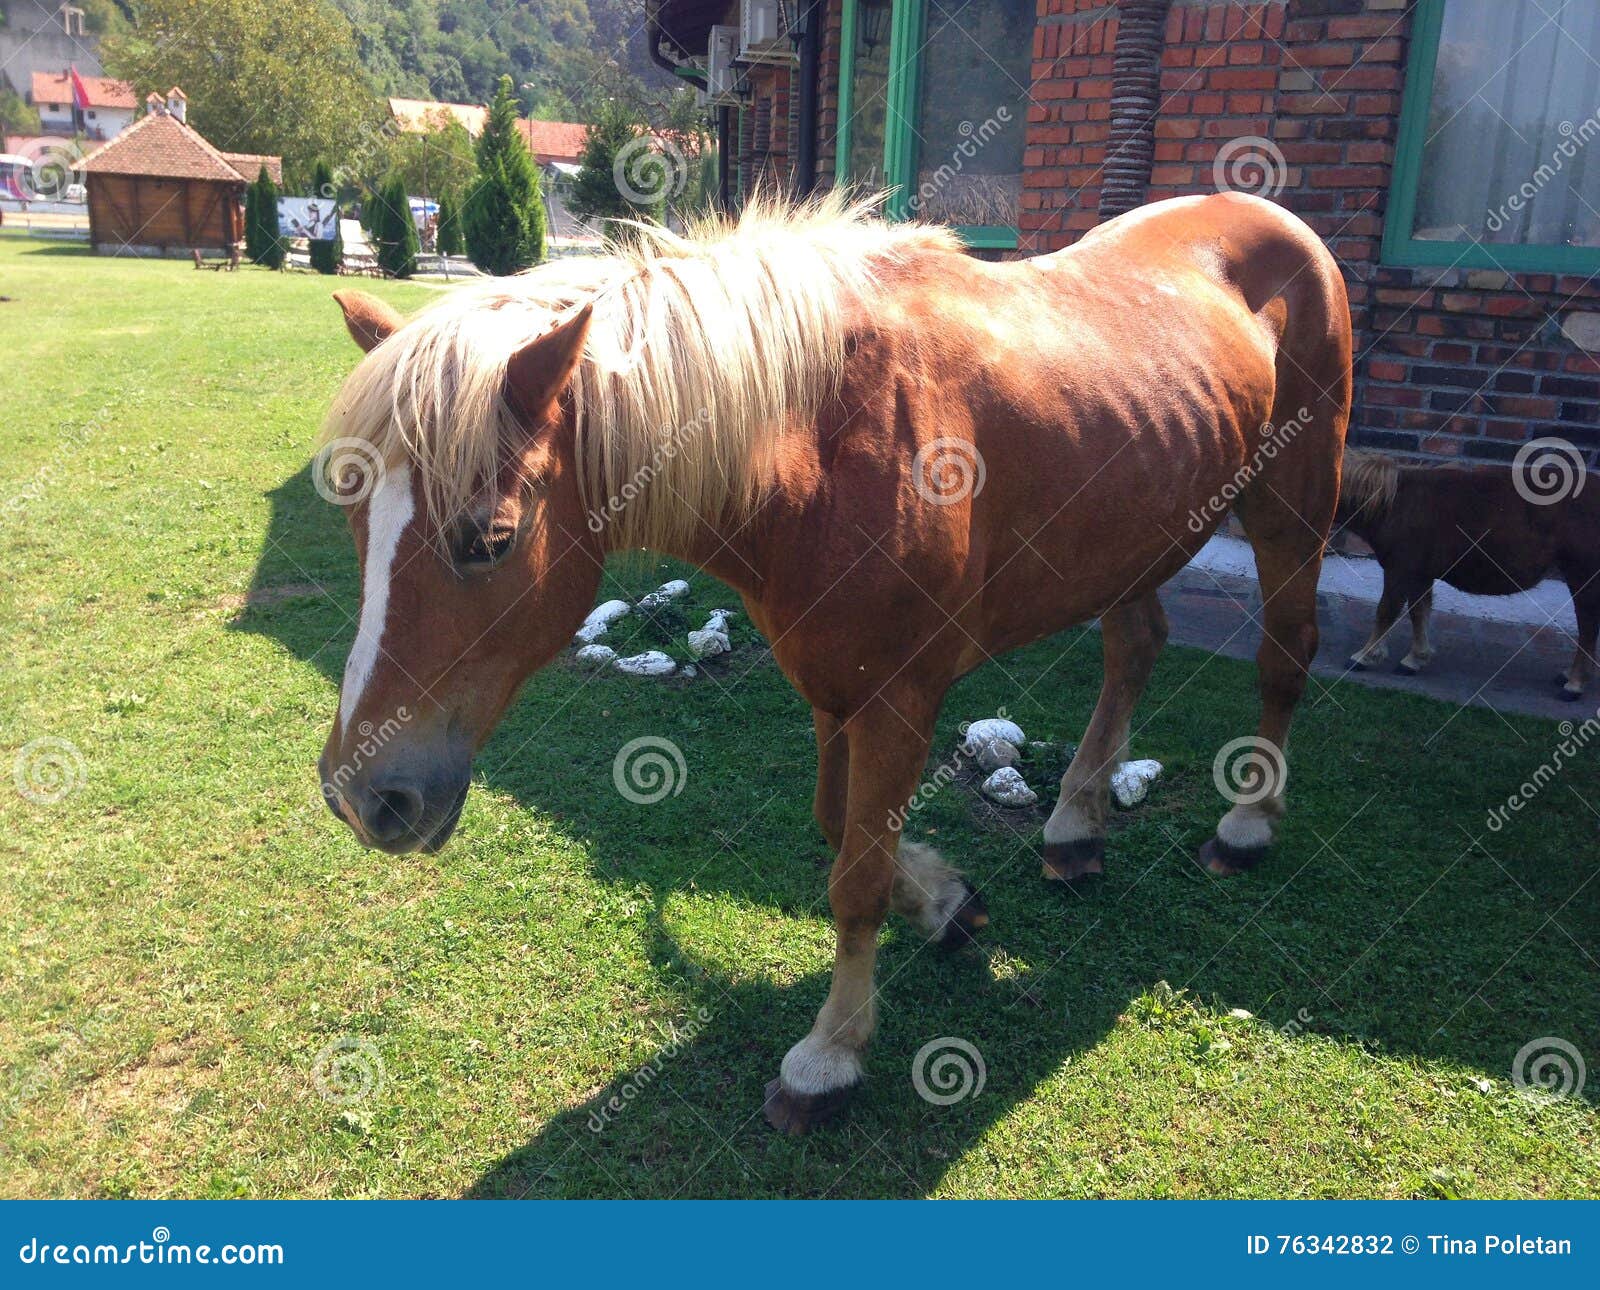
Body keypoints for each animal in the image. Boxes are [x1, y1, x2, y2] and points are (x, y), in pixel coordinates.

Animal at [314, 191, 1351, 1133]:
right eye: (355, 522)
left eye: (488, 540)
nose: (365, 798)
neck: (818, 441)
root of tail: (1270, 214)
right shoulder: (832, 684)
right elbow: (839, 827)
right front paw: (947, 904)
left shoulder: (900, 697)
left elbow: (855, 875)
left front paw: (829, 1058)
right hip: (1138, 527)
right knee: (1133, 650)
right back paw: (1074, 827)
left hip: (1293, 505)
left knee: (1284, 656)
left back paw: (1246, 825)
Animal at [1337, 450, 1600, 698]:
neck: (1393, 504)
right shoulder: (1420, 575)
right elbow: (1419, 612)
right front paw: (1415, 659)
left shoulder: (1400, 570)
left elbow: (1386, 612)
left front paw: (1363, 656)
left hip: (1583, 574)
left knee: (1588, 626)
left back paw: (1574, 683)